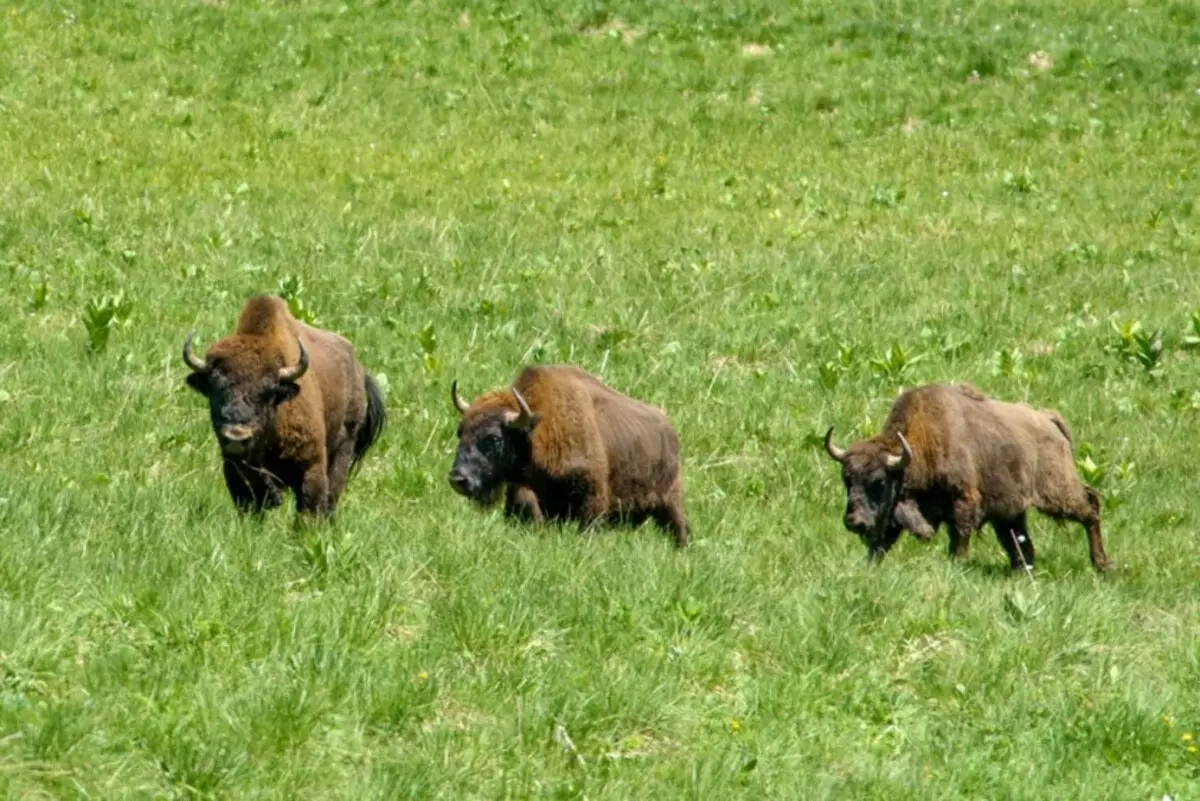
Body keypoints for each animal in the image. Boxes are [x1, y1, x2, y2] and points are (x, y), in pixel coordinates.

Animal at [182, 297, 384, 515]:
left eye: (268, 393)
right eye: (215, 390)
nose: (236, 436)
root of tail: (360, 371)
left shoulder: (311, 466)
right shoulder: (235, 470)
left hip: (343, 447)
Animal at [448, 366, 696, 546]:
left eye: (494, 438)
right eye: (460, 432)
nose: (458, 478)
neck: (539, 430)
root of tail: (669, 430)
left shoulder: (592, 500)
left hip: (670, 501)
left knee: (680, 527)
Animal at [825, 383, 1113, 573]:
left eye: (879, 482)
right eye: (847, 480)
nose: (854, 521)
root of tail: (1048, 419)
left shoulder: (964, 501)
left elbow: (959, 539)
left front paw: (957, 566)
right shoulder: (893, 515)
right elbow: (880, 544)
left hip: (1058, 493)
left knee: (1090, 507)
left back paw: (1103, 565)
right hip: (1010, 512)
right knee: (1021, 542)